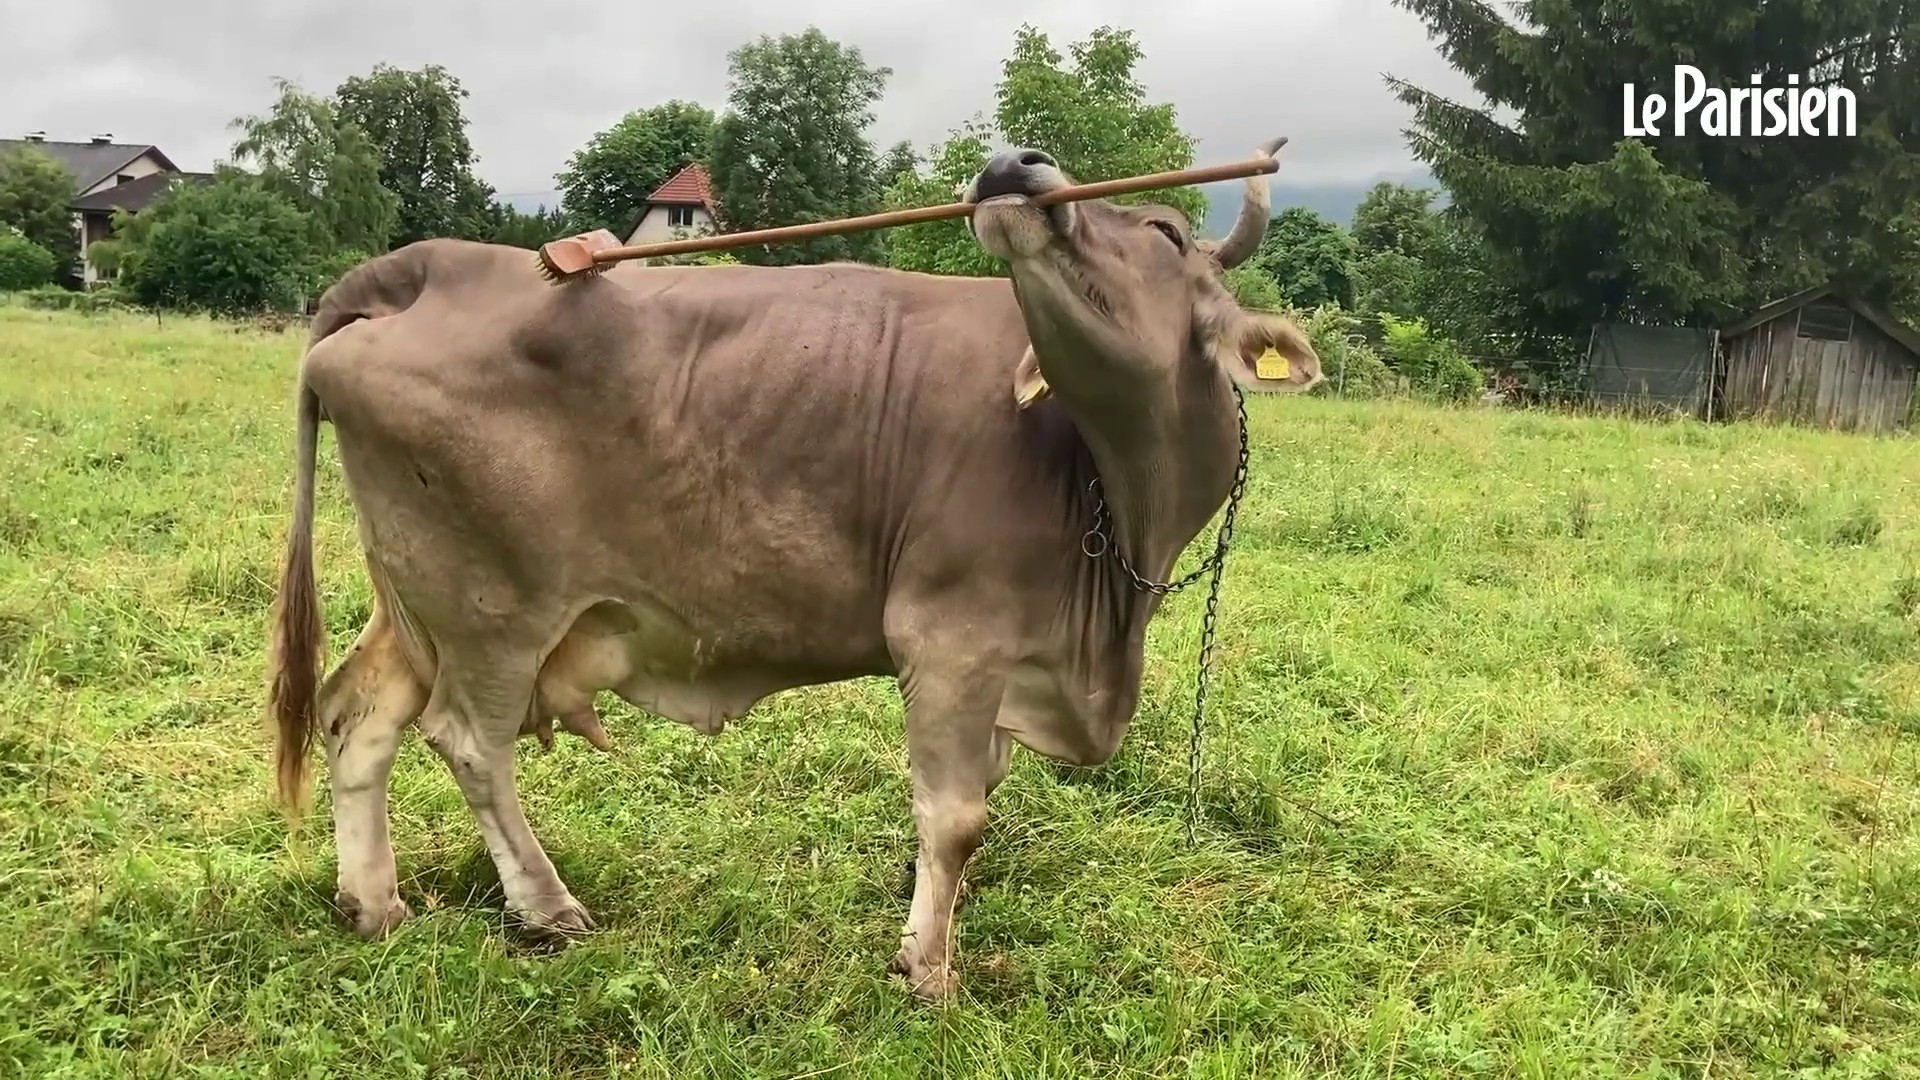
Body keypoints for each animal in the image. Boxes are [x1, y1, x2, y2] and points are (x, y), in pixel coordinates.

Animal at [265, 138, 1322, 1002]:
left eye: (1164, 229)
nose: (1014, 164)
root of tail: (439, 263)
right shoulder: (951, 637)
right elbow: (955, 816)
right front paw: (926, 967)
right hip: (495, 608)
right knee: (469, 742)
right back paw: (547, 906)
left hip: (416, 598)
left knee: (358, 715)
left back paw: (374, 904)